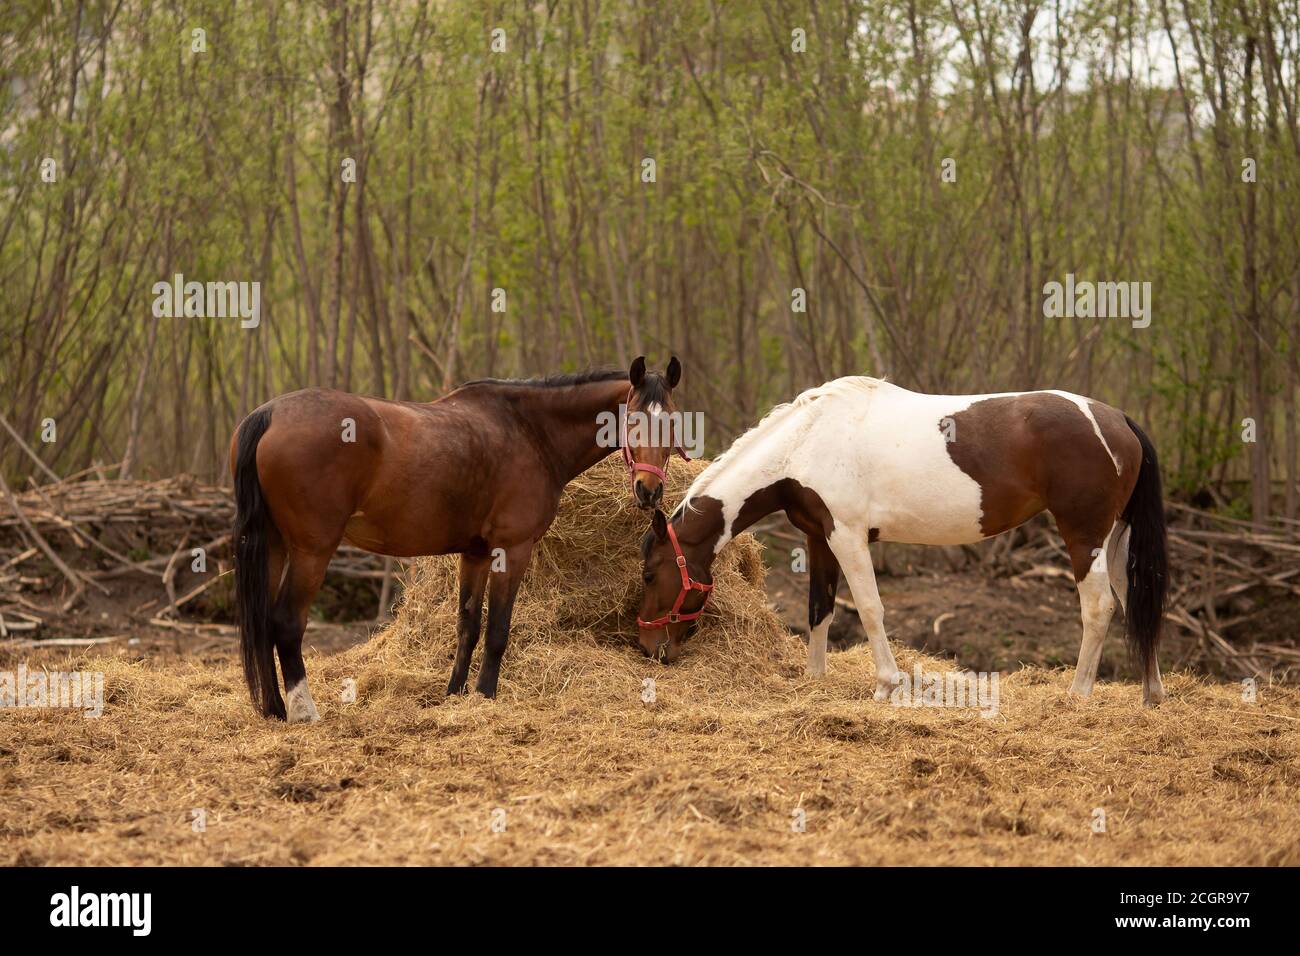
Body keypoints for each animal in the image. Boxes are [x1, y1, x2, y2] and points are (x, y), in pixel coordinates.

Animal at [231, 356, 683, 721]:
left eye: (672, 421)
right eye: (632, 419)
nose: (649, 491)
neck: (529, 431)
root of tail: (270, 413)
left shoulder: (476, 554)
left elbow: (469, 625)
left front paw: (455, 694)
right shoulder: (511, 550)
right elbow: (498, 629)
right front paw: (485, 694)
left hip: (274, 546)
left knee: (263, 621)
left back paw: (273, 708)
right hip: (311, 551)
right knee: (286, 622)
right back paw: (303, 710)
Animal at [636, 376, 1169, 707]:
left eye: (649, 573)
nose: (648, 648)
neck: (806, 443)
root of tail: (1117, 419)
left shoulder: (848, 535)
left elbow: (869, 608)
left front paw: (886, 687)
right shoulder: (819, 538)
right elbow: (819, 609)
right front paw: (815, 680)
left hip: (1084, 536)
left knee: (1100, 606)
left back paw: (1077, 696)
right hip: (1115, 540)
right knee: (1134, 600)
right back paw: (1151, 694)